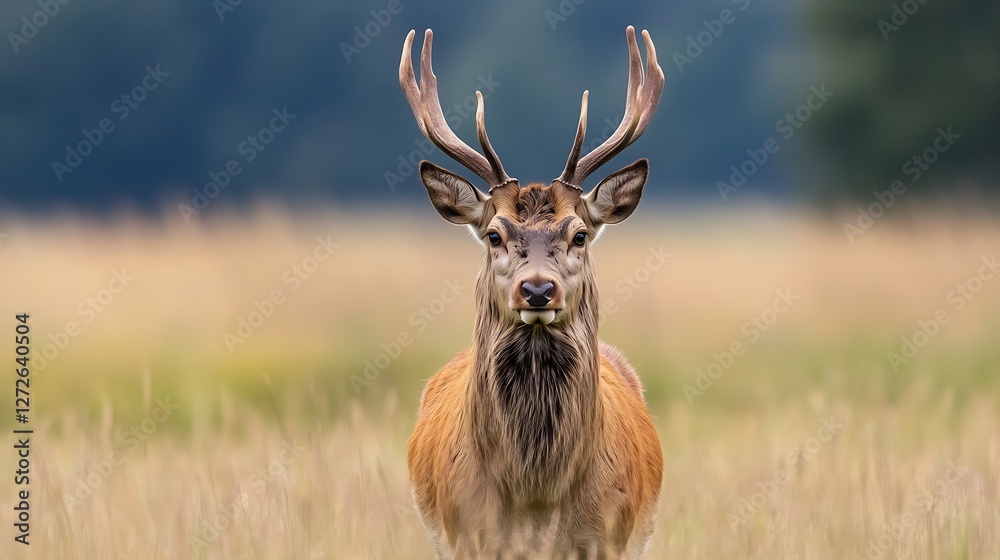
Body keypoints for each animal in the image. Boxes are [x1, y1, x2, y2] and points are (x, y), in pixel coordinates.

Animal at [400, 26, 665, 559]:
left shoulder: (610, 535)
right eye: (494, 234)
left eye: (579, 234)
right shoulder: (465, 534)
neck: (536, 502)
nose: (538, 289)